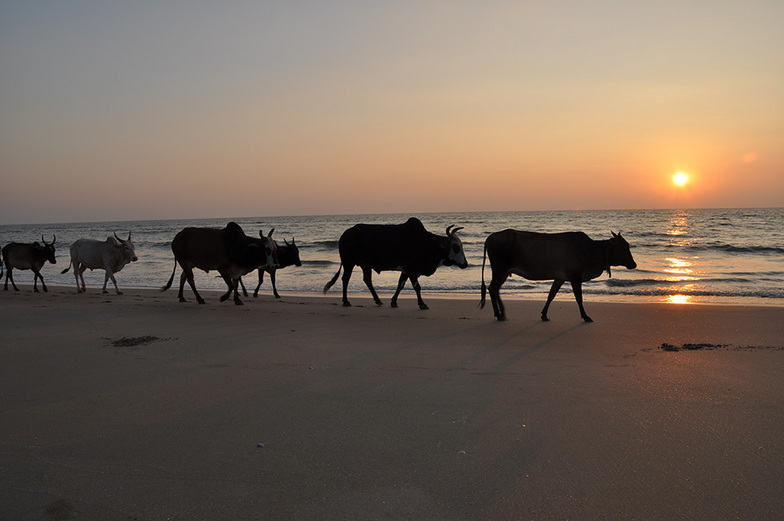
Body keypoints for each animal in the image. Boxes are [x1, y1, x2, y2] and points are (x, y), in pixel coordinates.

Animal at [324, 216, 468, 308]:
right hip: (349, 262)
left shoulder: (406, 270)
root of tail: (344, 235)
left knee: (367, 280)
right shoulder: (411, 269)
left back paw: (378, 300)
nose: (465, 264)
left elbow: (400, 285)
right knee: (345, 279)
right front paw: (422, 304)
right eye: (455, 247)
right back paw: (346, 301)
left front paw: (393, 302)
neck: (426, 243)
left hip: (365, 265)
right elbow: (417, 287)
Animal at [478, 229, 636, 320]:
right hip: (499, 270)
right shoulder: (575, 278)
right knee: (492, 288)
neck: (590, 249)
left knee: (495, 289)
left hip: (504, 272)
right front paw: (585, 316)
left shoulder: (560, 278)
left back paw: (502, 313)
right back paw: (498, 315)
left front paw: (544, 315)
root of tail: (490, 237)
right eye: (623, 247)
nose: (634, 264)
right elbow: (579, 298)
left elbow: (551, 295)